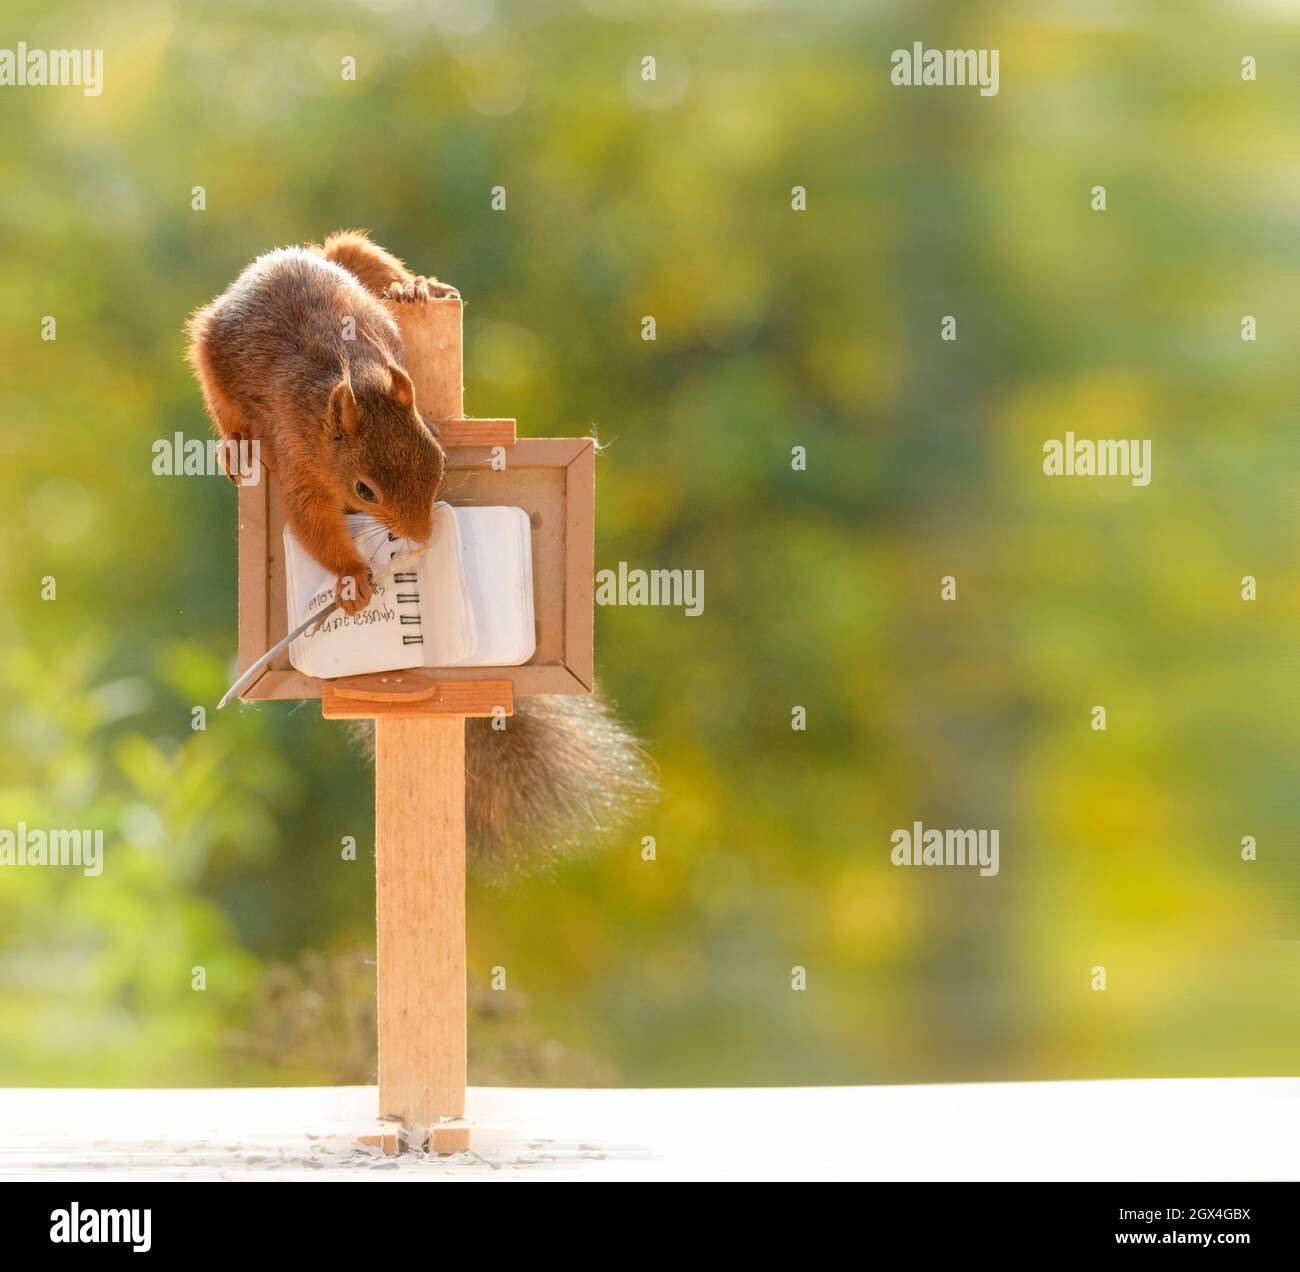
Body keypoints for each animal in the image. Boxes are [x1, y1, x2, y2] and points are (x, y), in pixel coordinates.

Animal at [187, 230, 656, 878]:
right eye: (364, 491)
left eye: (437, 457)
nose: (425, 536)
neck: (350, 378)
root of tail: (264, 266)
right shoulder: (297, 461)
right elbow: (310, 524)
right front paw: (354, 581)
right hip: (212, 352)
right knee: (219, 394)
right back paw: (234, 444)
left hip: (343, 257)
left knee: (351, 250)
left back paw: (414, 287)